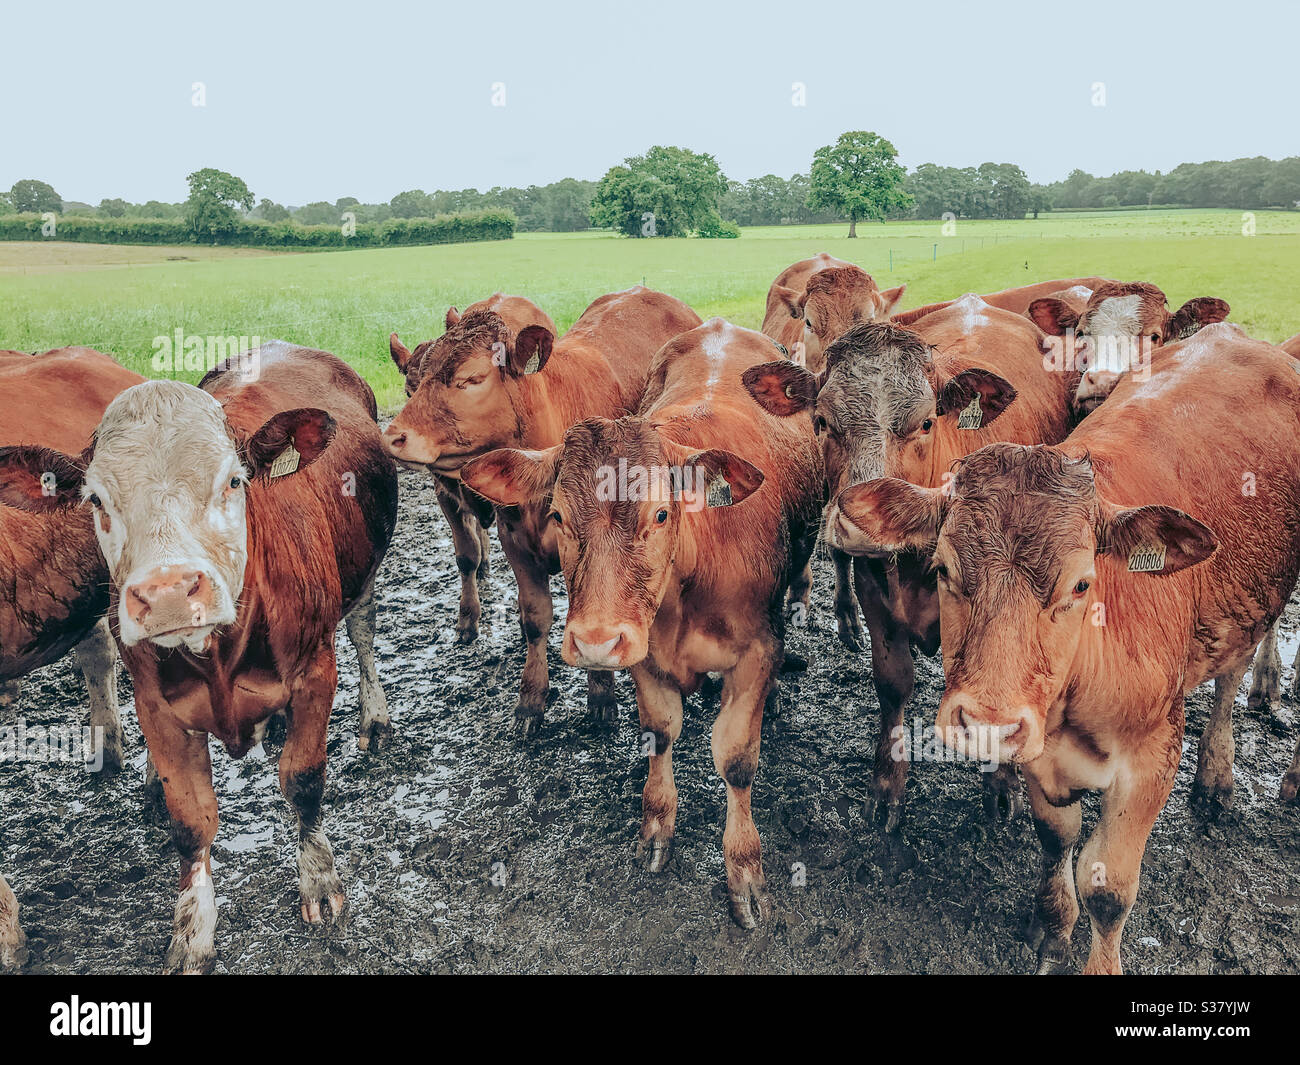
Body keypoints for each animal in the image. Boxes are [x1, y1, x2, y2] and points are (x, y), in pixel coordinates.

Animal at [0, 342, 398, 973]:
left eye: (234, 481)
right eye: (95, 500)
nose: (166, 592)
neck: (219, 656)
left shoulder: (315, 672)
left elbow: (304, 780)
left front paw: (319, 880)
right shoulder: (158, 710)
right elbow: (191, 824)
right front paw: (192, 934)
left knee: (363, 628)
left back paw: (375, 719)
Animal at [460, 317, 821, 927]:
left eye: (661, 513)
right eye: (557, 515)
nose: (596, 642)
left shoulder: (755, 654)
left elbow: (737, 760)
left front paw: (743, 867)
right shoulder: (644, 655)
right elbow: (659, 732)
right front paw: (657, 827)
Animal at [743, 295, 1076, 828]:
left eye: (924, 423)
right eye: (822, 422)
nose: (857, 522)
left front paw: (1002, 784)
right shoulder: (876, 593)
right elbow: (893, 684)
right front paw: (887, 784)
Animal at [836, 323, 1300, 972]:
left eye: (1082, 584)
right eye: (944, 568)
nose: (986, 723)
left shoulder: (1152, 758)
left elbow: (1109, 889)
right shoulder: (1037, 748)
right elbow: (1056, 842)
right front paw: (1052, 926)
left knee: (1231, 675)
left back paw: (1218, 777)